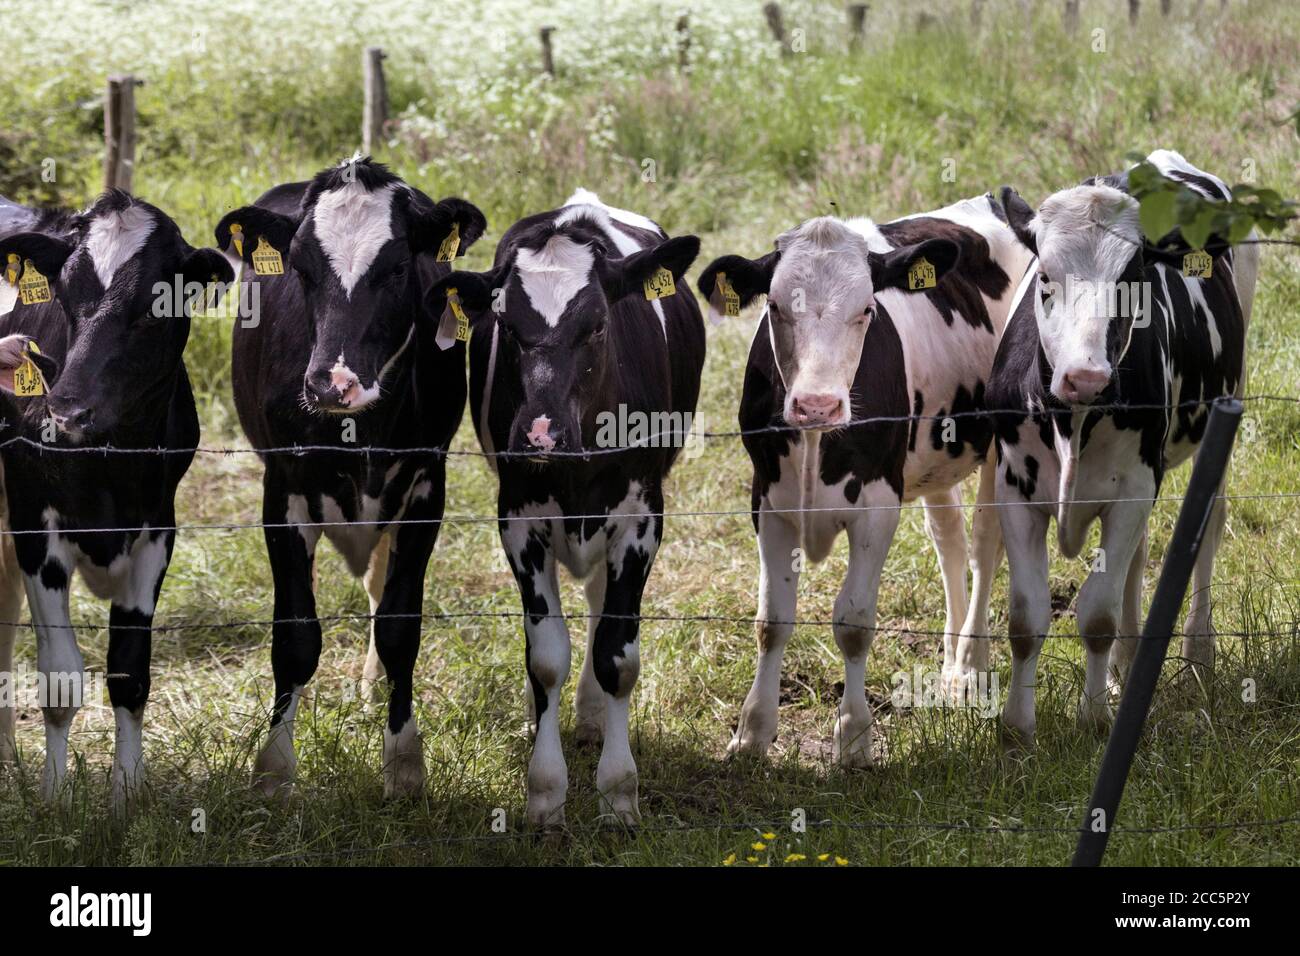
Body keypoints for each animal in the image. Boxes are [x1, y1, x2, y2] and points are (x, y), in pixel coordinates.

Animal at [0, 190, 232, 809]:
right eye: (63, 295)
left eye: (154, 307)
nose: (66, 409)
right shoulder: (35, 526)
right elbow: (60, 678)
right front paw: (55, 800)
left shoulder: (157, 529)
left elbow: (130, 673)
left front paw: (126, 797)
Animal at [213, 158, 485, 798]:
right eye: (301, 268)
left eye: (397, 268)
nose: (331, 384)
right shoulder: (282, 490)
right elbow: (294, 636)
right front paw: (273, 770)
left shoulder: (426, 485)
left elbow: (399, 625)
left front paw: (404, 764)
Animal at [427, 189, 703, 827]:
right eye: (506, 324)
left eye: (598, 325)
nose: (541, 434)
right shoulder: (518, 520)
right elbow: (547, 655)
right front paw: (546, 791)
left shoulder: (641, 519)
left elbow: (617, 654)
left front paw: (619, 791)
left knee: (602, 608)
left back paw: (595, 715)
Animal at [696, 196, 1035, 766]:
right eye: (776, 307)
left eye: (867, 311)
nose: (817, 404)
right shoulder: (767, 502)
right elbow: (771, 622)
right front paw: (752, 734)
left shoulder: (877, 505)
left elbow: (853, 623)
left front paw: (853, 739)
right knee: (949, 541)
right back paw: (949, 666)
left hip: (996, 447)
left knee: (986, 546)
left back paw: (970, 667)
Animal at [990, 150, 1258, 747]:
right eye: (1045, 277)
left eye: (1134, 277)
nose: (1086, 376)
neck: (1073, 421)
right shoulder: (1014, 491)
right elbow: (1025, 619)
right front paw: (1017, 730)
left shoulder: (1135, 488)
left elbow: (1097, 616)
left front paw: (1094, 720)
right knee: (1135, 559)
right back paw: (1125, 665)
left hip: (1222, 416)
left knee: (1209, 525)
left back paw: (1197, 653)